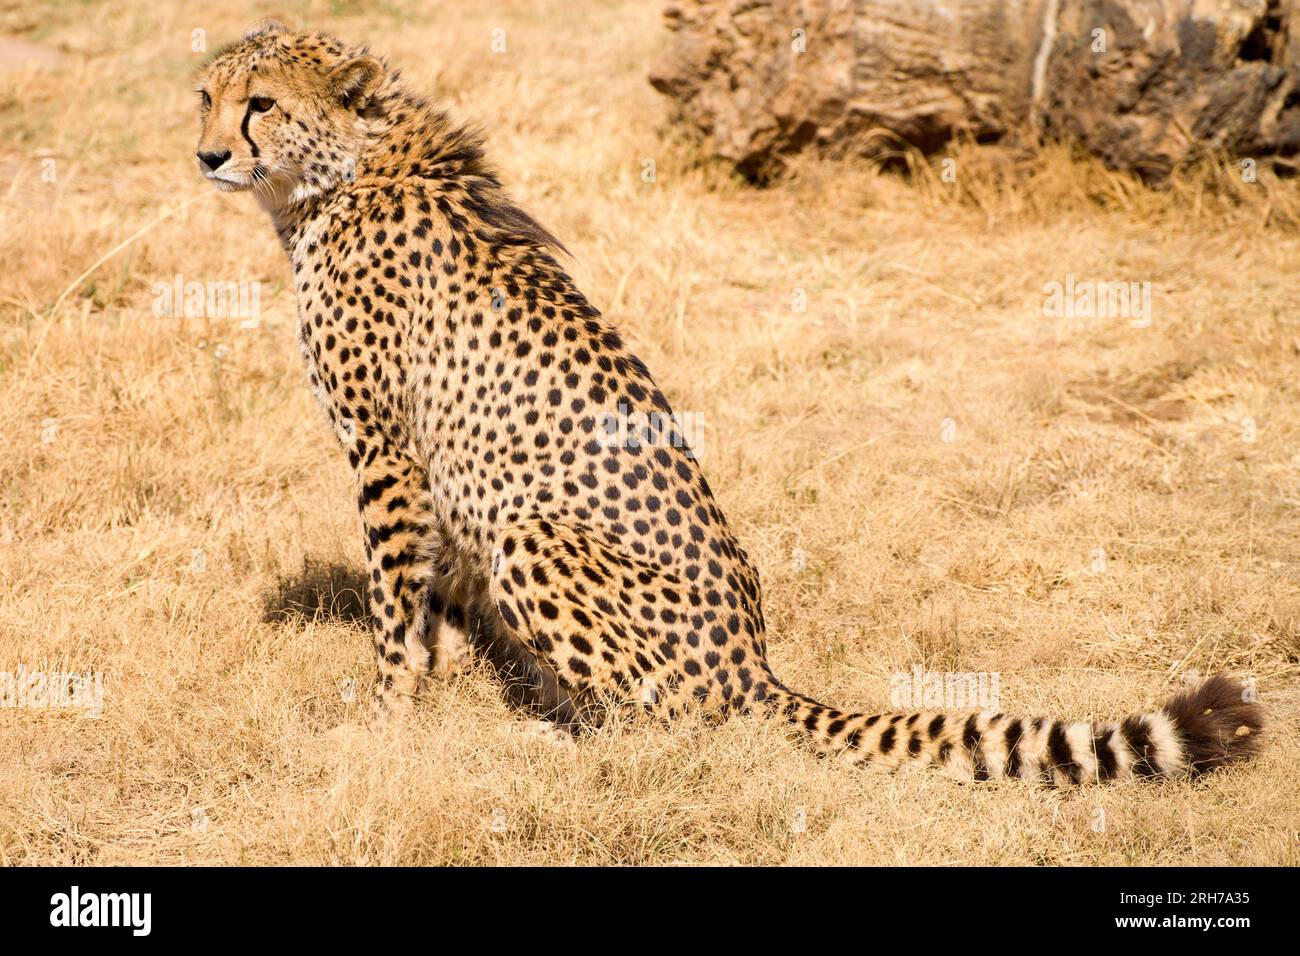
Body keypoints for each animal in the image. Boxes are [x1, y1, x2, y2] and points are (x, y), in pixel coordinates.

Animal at [195, 19, 1262, 785]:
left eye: (261, 104)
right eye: (206, 97)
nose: (207, 156)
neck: (345, 172)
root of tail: (758, 661)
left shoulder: (384, 447)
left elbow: (392, 607)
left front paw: (385, 718)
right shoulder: (425, 471)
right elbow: (430, 599)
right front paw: (439, 681)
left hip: (538, 537)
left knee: (684, 727)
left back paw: (564, 746)